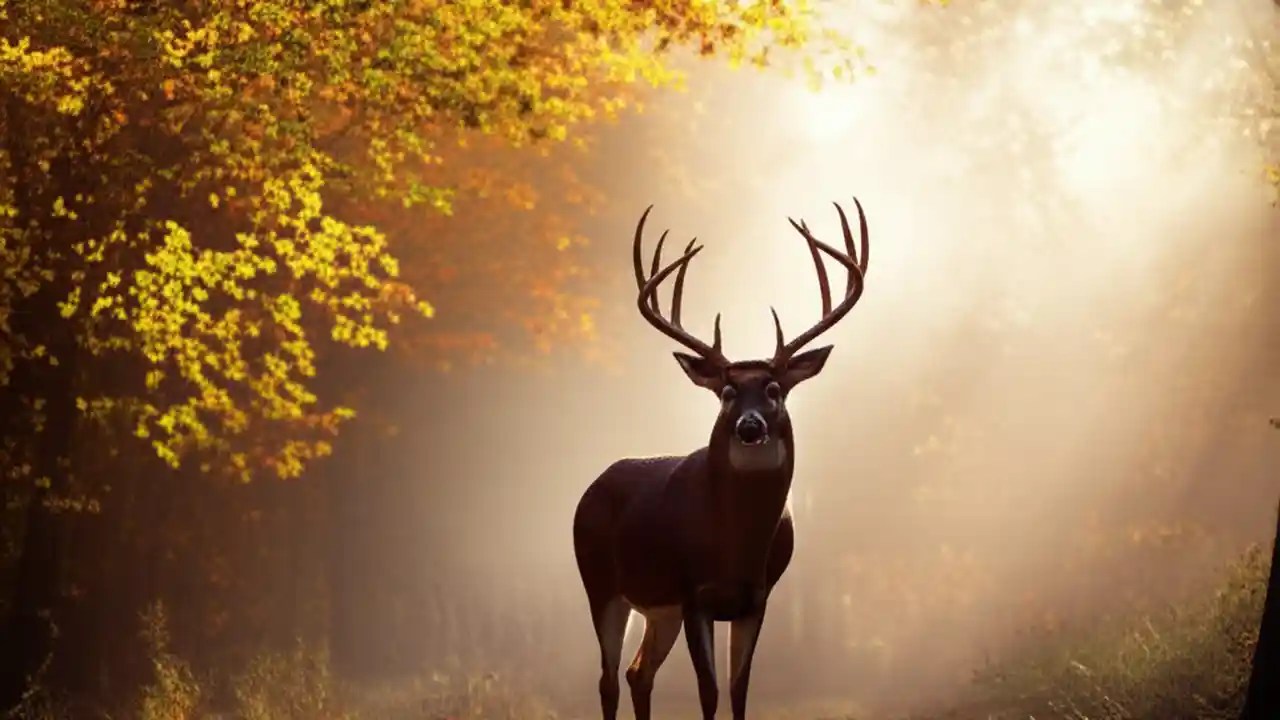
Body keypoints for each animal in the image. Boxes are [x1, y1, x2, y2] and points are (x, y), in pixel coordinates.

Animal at [572, 199, 870, 720]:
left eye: (773, 389)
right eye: (727, 393)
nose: (749, 426)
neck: (735, 545)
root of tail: (591, 487)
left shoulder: (757, 598)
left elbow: (738, 691)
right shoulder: (695, 593)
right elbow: (709, 692)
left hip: (659, 607)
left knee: (637, 673)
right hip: (602, 581)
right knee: (608, 679)